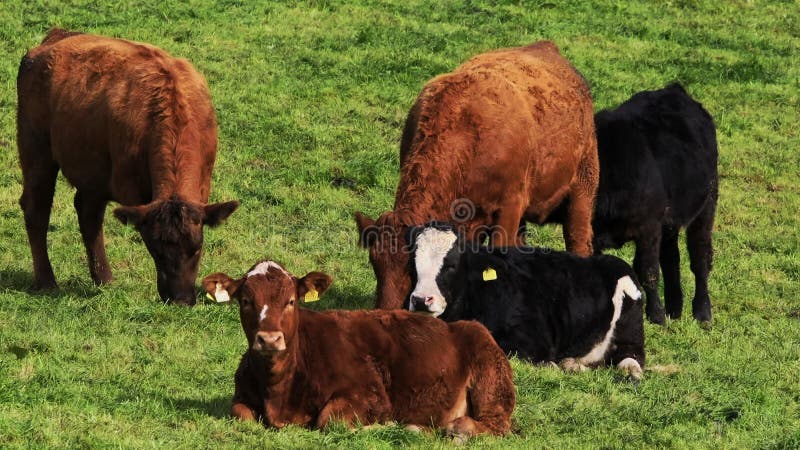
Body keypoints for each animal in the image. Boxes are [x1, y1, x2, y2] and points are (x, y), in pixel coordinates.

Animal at [16, 28, 238, 304]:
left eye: (197, 248)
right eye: (155, 249)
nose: (180, 300)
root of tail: (56, 36)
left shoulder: (203, 185)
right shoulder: (130, 188)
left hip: (94, 170)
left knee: (88, 213)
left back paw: (104, 279)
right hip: (36, 150)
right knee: (37, 208)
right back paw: (47, 281)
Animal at [202, 260, 515, 439]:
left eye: (291, 301)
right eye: (245, 301)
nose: (269, 339)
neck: (278, 390)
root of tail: (460, 324)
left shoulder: (371, 395)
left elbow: (330, 420)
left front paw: (382, 426)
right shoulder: (241, 396)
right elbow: (240, 414)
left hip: (491, 378)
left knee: (495, 424)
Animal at [355, 40, 599, 311]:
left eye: (413, 267)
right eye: (375, 264)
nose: (385, 312)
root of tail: (547, 48)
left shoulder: (510, 208)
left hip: (583, 188)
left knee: (579, 243)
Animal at [406, 222, 646, 380]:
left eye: (451, 265)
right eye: (413, 262)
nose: (420, 300)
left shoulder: (532, 340)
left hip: (630, 326)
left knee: (631, 356)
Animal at [592, 83, 718, 324]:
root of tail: (674, 89)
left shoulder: (648, 227)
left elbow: (648, 270)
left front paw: (656, 315)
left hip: (706, 205)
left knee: (700, 257)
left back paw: (702, 311)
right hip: (670, 220)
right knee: (671, 258)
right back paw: (674, 308)